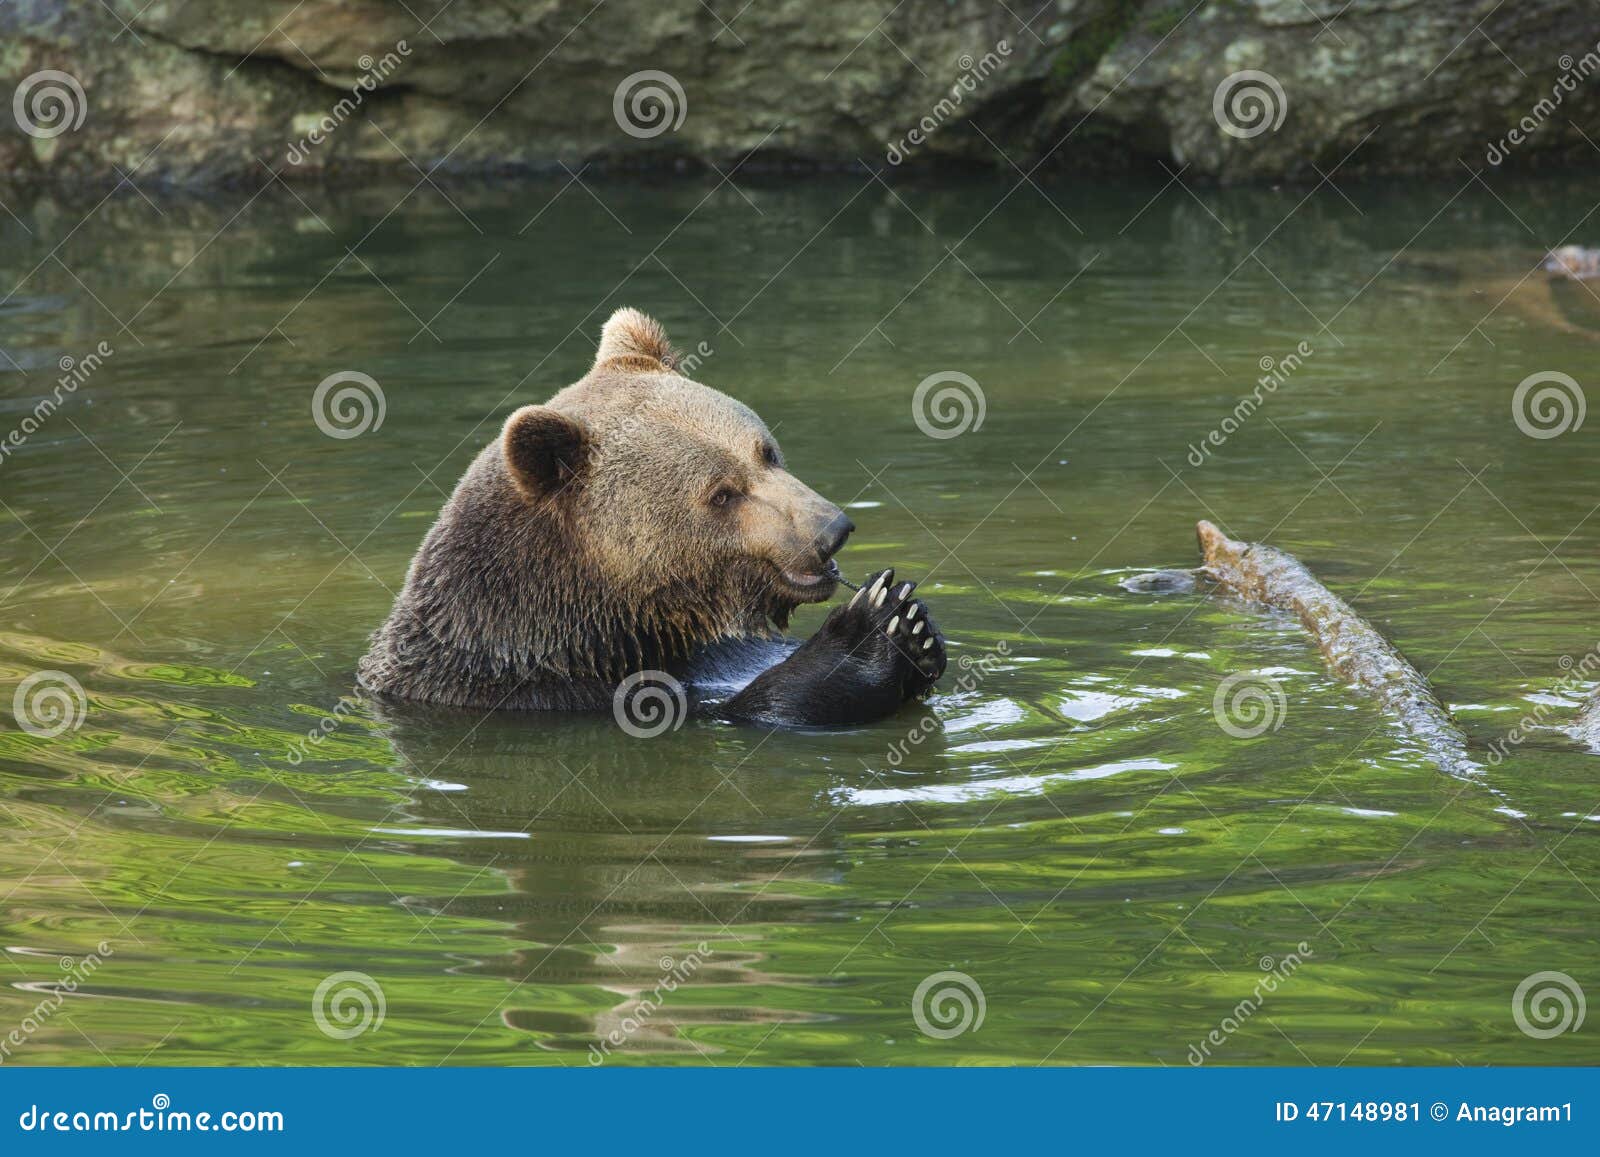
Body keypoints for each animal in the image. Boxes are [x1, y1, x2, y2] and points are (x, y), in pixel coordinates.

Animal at [356, 307, 946, 727]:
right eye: (721, 494)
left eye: (766, 453)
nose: (832, 529)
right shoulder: (544, 694)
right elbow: (762, 707)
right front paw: (874, 624)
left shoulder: (716, 657)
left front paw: (912, 624)